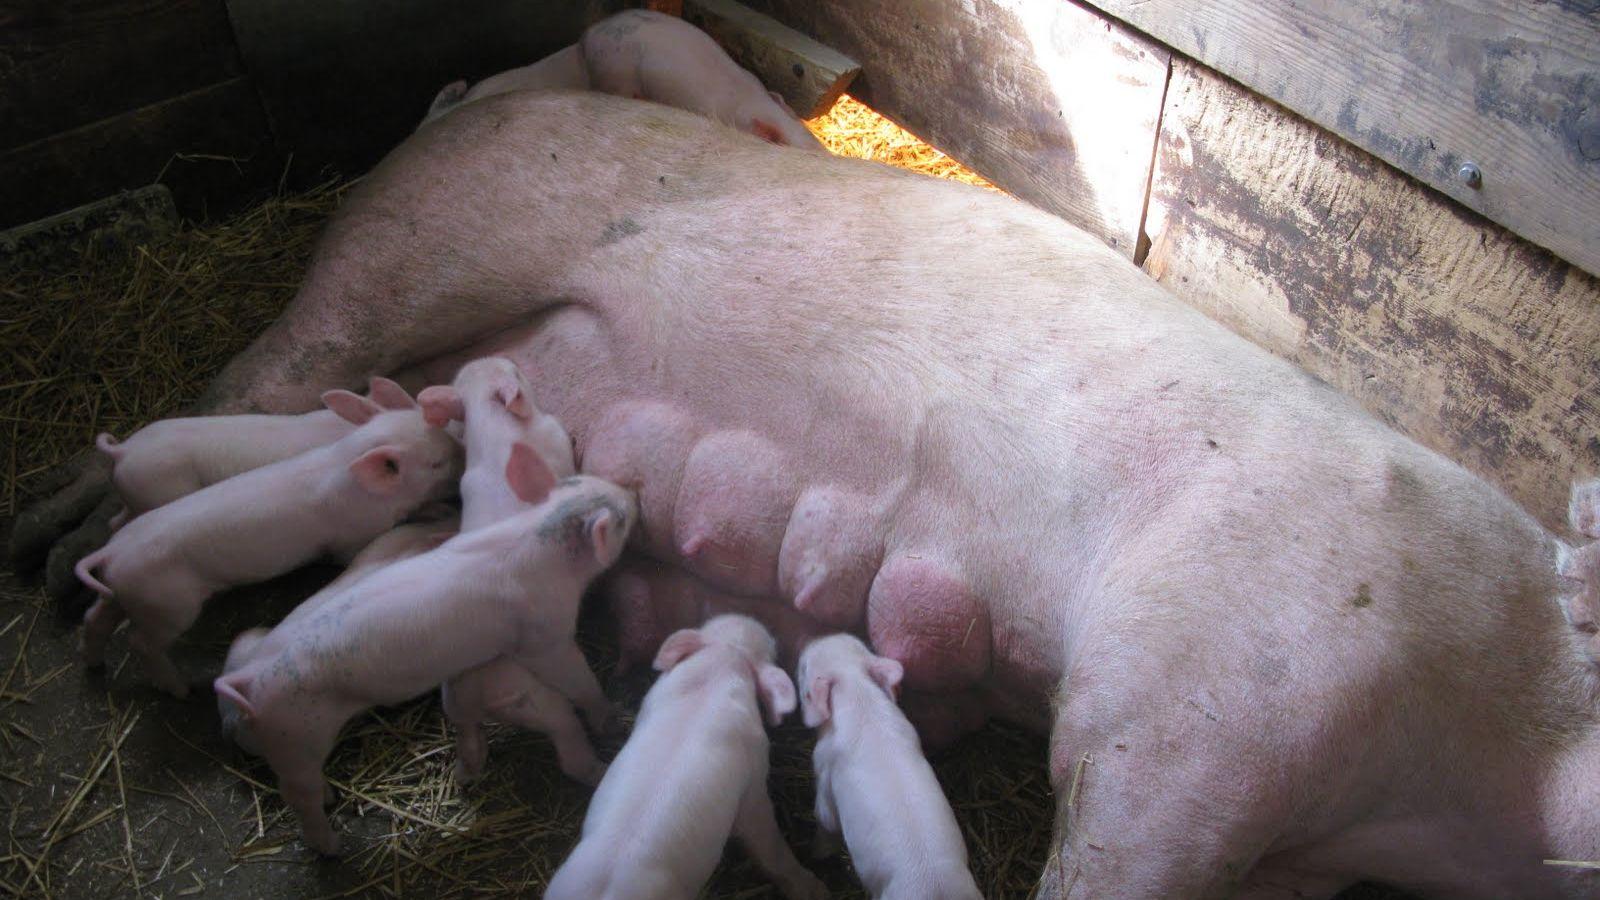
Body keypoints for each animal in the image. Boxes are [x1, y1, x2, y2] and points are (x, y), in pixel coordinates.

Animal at [214, 444, 634, 853]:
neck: (538, 538)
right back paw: (333, 847)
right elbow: (573, 674)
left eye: (581, 481)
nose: (630, 493)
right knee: (296, 793)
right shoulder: (544, 632)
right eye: (620, 521)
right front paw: (609, 715)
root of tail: (248, 686)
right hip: (297, 737)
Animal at [544, 614, 826, 900]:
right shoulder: (754, 775)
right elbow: (765, 838)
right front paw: (815, 889)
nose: (745, 617)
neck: (723, 661)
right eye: (772, 649)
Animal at [798, 634, 980, 900]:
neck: (857, 691)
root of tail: (936, 888)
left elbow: (826, 821)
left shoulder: (824, 771)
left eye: (803, 668)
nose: (811, 640)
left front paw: (814, 853)